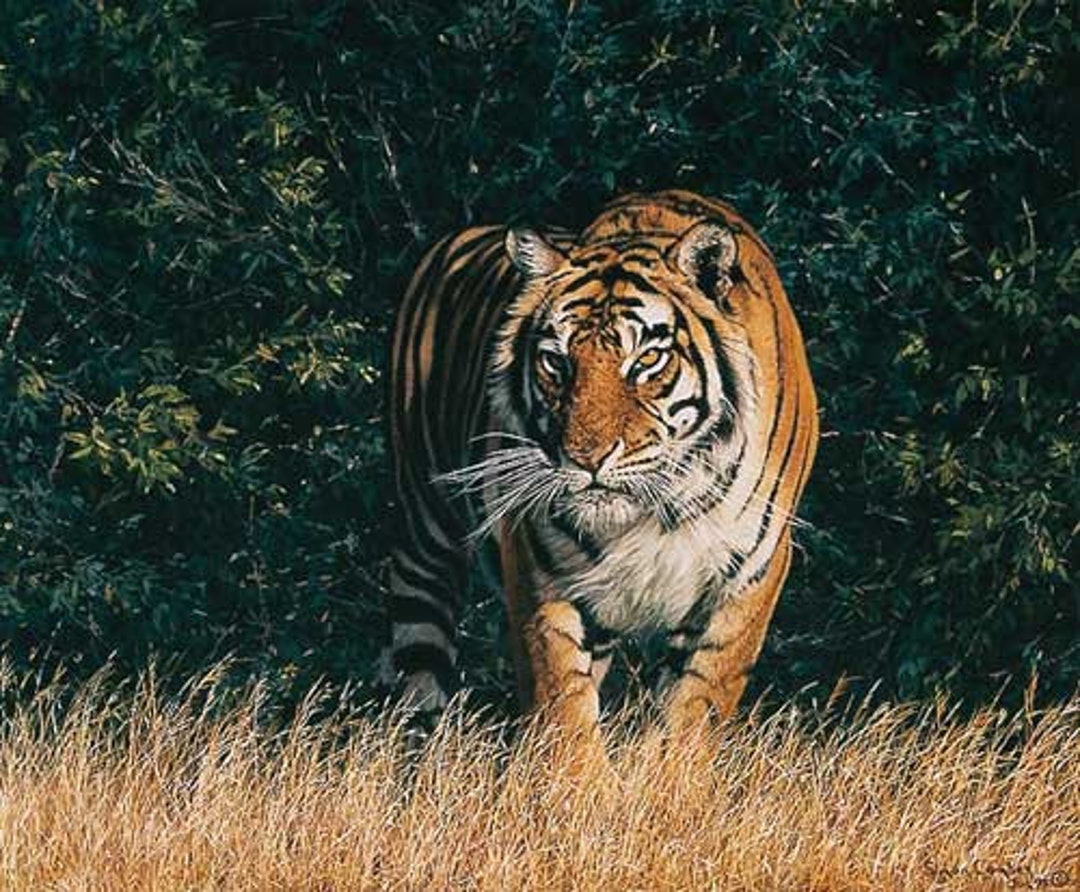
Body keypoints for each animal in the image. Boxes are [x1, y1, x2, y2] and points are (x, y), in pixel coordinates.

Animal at [384, 189, 818, 739]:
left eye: (648, 360)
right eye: (556, 361)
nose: (585, 457)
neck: (657, 512)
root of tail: (460, 233)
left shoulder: (748, 575)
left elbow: (693, 711)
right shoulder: (539, 567)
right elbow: (563, 707)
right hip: (425, 536)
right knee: (419, 672)